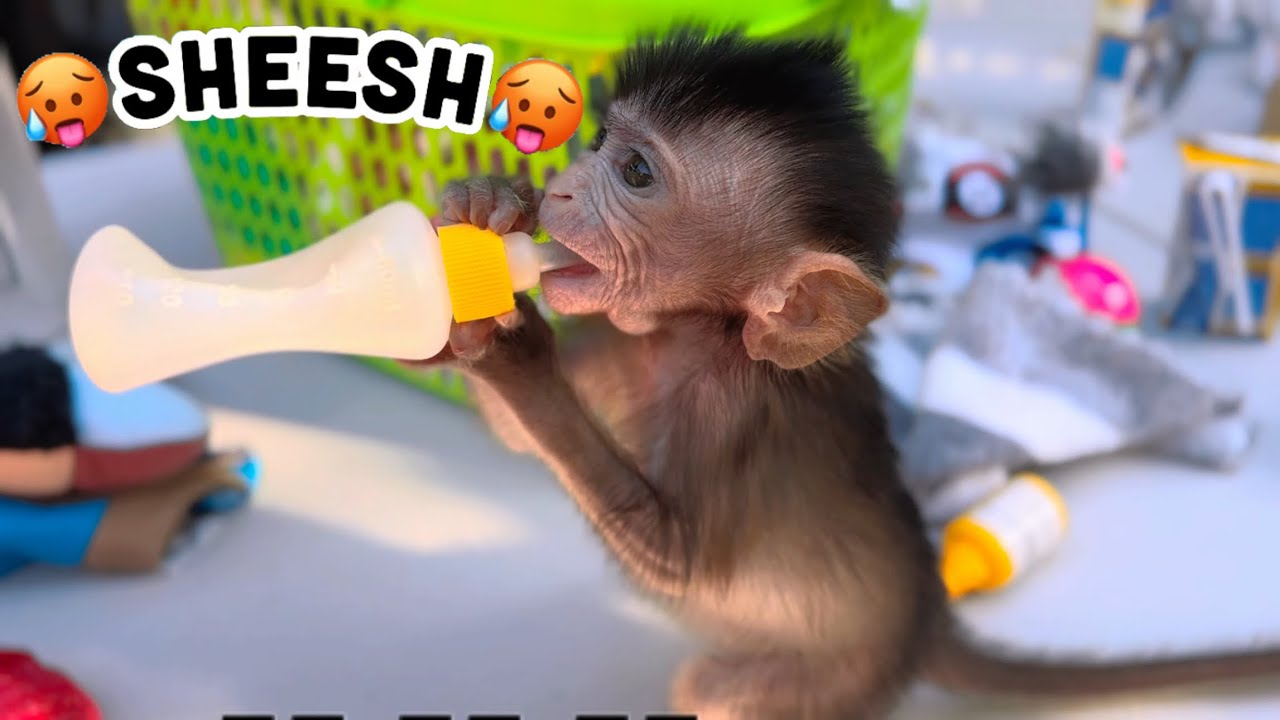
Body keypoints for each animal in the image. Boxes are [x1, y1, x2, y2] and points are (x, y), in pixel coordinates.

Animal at [404, 29, 1280, 720]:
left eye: (638, 173)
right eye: (596, 142)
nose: (557, 189)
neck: (709, 338)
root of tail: (923, 619)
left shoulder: (732, 412)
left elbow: (681, 561)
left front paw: (515, 353)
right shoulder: (634, 339)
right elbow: (516, 438)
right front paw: (474, 217)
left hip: (837, 681)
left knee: (712, 691)